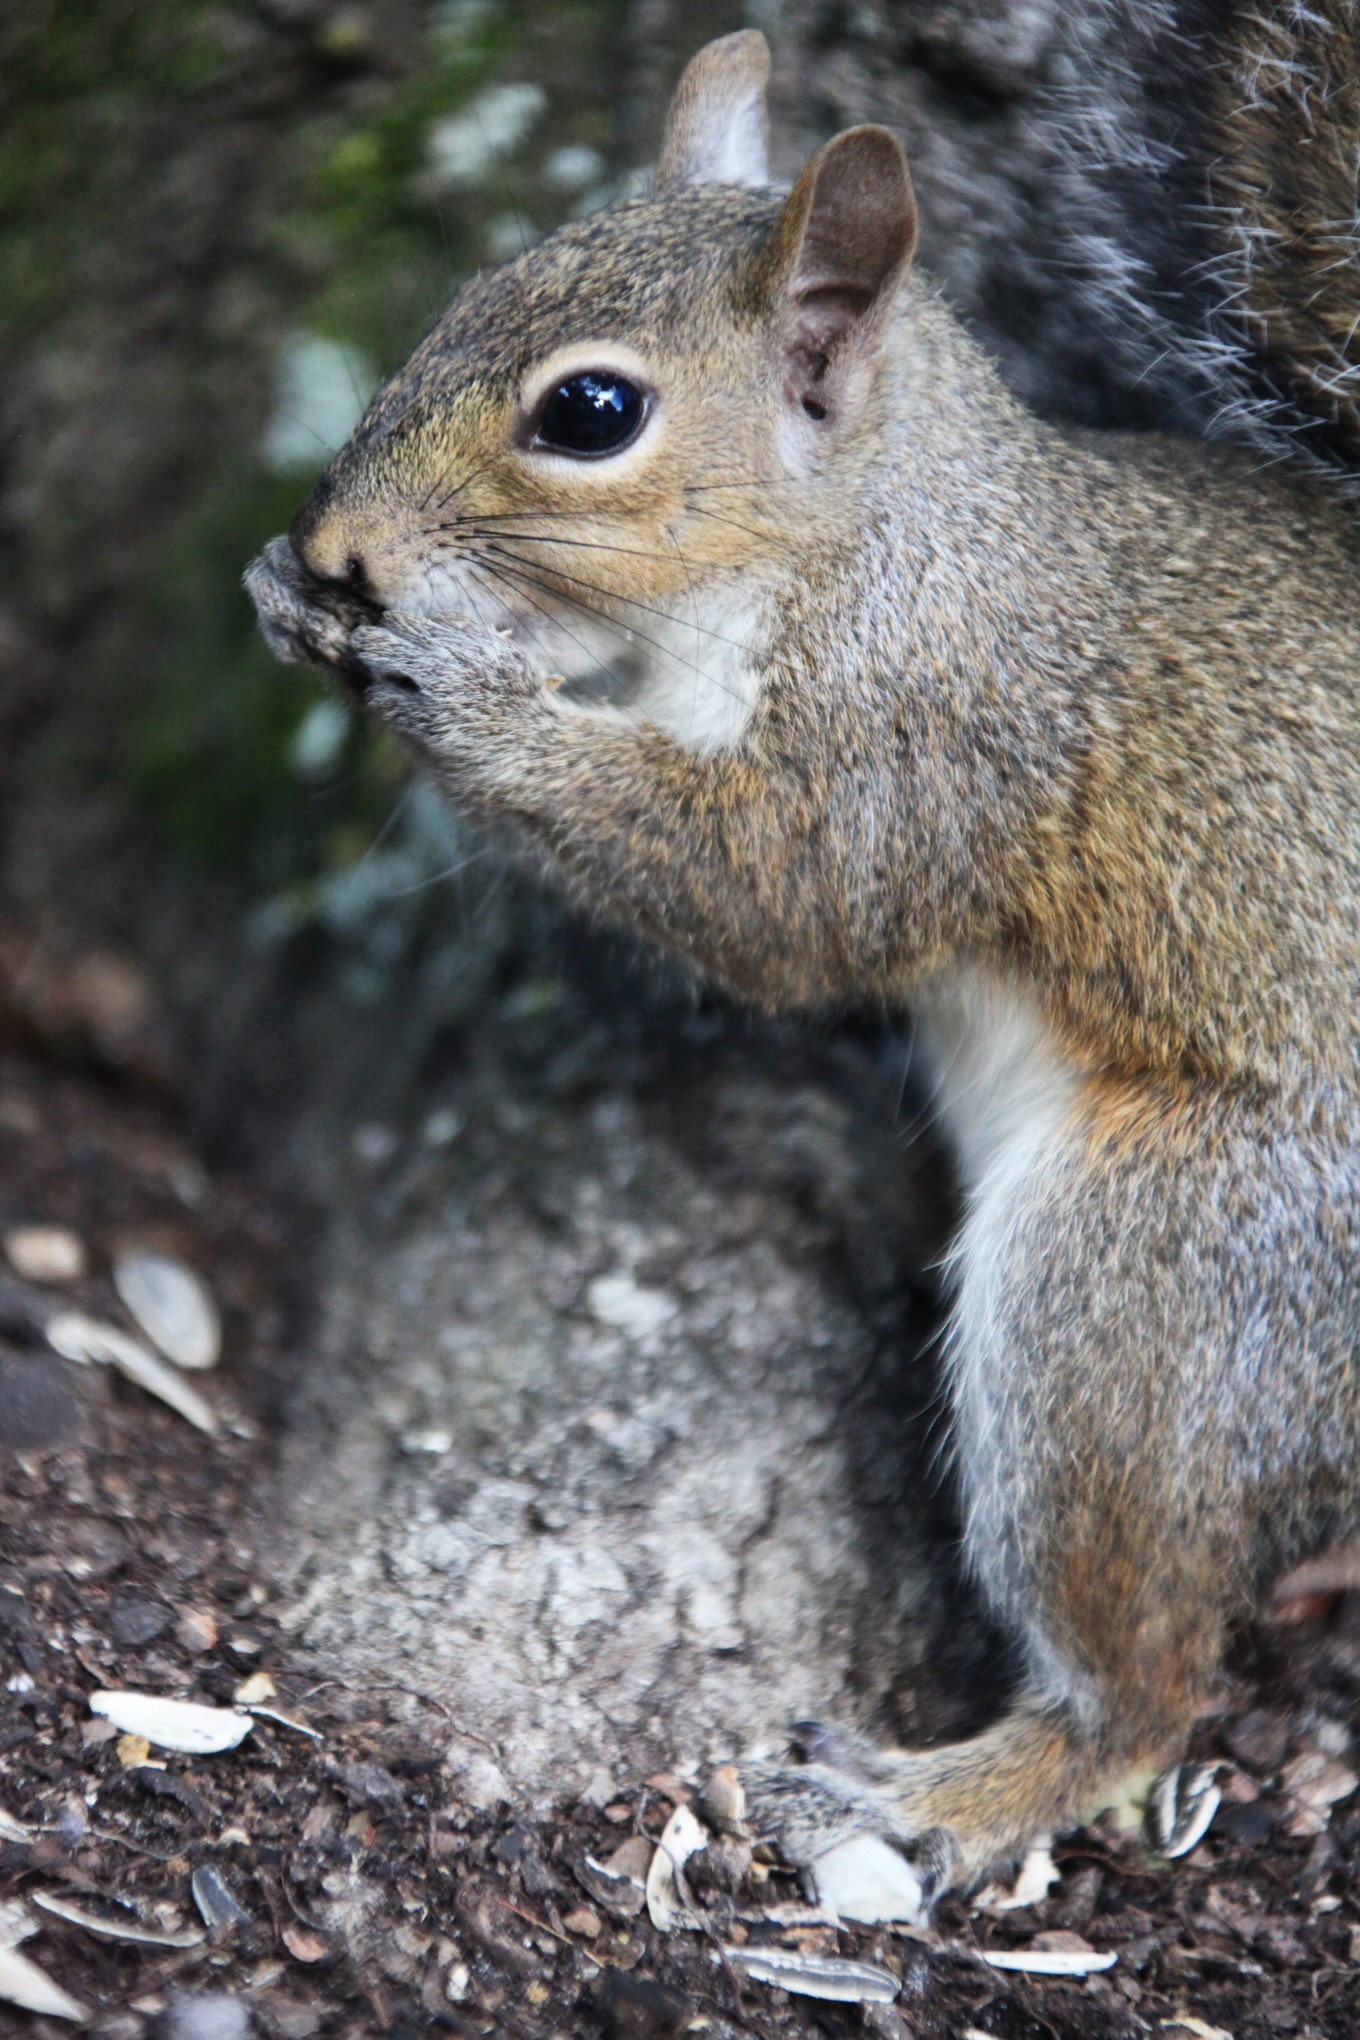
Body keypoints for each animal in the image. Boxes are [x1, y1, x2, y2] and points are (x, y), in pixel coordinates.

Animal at [247, 16, 1360, 1899]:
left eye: (590, 412)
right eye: (465, 294)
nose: (338, 549)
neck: (860, 534)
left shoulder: (932, 735)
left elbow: (780, 901)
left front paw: (456, 685)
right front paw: (295, 597)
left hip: (1167, 1282)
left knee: (1150, 1681)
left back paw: (947, 1793)